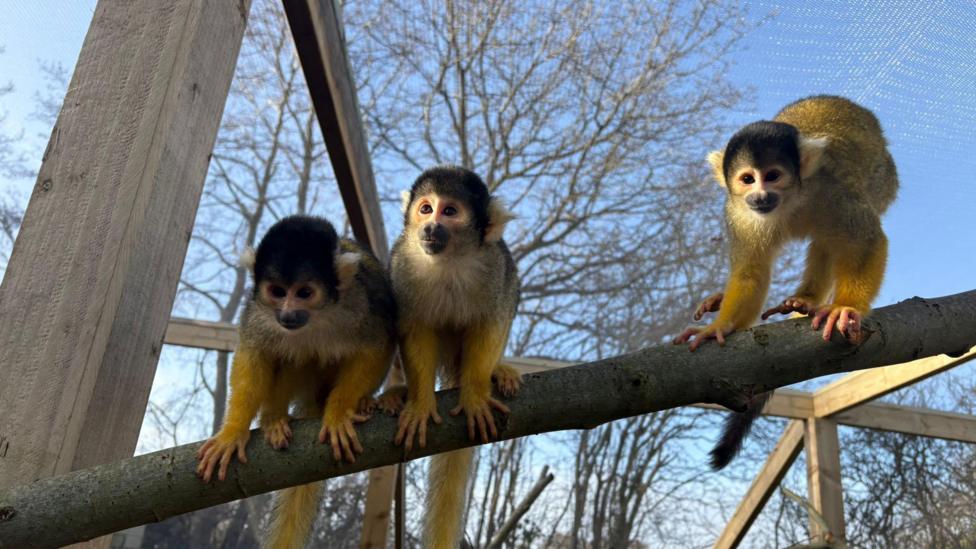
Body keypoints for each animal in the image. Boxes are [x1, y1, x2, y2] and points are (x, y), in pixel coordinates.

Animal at [195, 215, 396, 549]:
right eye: (278, 291)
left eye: (304, 293)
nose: (288, 314)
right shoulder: (259, 310)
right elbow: (255, 353)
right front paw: (232, 431)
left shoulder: (361, 301)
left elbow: (377, 346)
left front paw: (338, 413)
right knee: (294, 354)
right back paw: (274, 417)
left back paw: (360, 401)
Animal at [389, 165, 521, 548]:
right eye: (426, 209)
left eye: (449, 211)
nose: (430, 227)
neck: (447, 261)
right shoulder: (401, 265)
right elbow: (412, 326)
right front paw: (419, 404)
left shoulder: (495, 265)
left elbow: (493, 318)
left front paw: (475, 394)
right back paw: (395, 393)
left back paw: (497, 372)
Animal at [673, 95, 898, 469]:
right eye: (747, 179)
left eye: (773, 176)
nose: (760, 195)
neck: (790, 201)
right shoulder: (738, 212)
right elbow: (750, 271)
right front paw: (719, 326)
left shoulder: (834, 191)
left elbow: (867, 241)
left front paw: (845, 308)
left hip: (883, 182)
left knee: (830, 239)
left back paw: (808, 300)